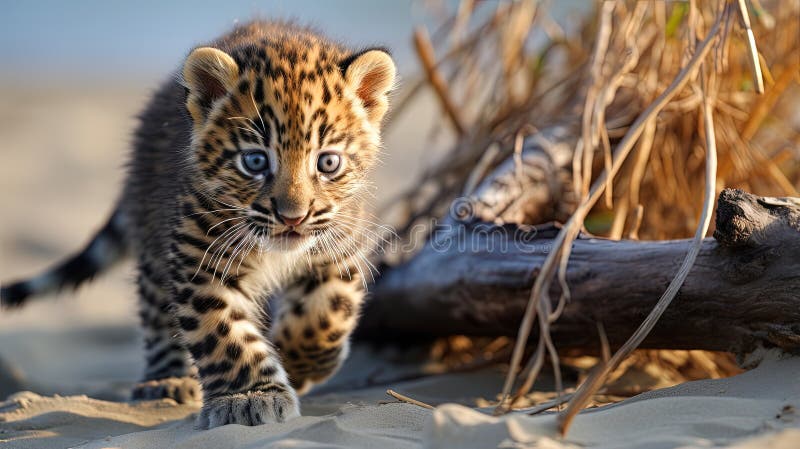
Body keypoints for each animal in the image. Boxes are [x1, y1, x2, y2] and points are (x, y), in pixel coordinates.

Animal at [0, 20, 396, 429]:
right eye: (255, 162)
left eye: (328, 163)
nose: (293, 217)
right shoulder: (200, 261)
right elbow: (225, 334)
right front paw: (251, 396)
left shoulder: (339, 249)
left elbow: (325, 314)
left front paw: (297, 364)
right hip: (154, 241)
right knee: (156, 311)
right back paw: (166, 382)